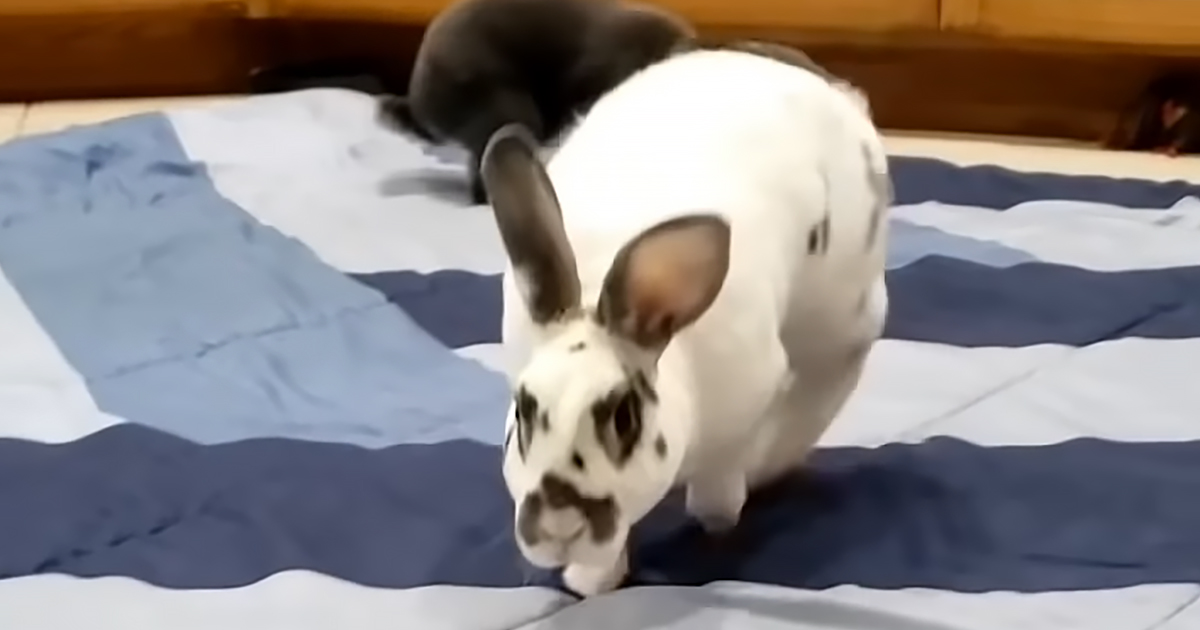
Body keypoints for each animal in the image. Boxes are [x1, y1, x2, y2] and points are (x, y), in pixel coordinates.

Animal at [481, 47, 893, 597]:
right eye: (523, 413)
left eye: (624, 417)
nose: (558, 527)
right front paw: (591, 581)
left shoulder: (743, 407)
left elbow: (718, 487)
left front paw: (718, 523)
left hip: (839, 319)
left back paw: (767, 467)